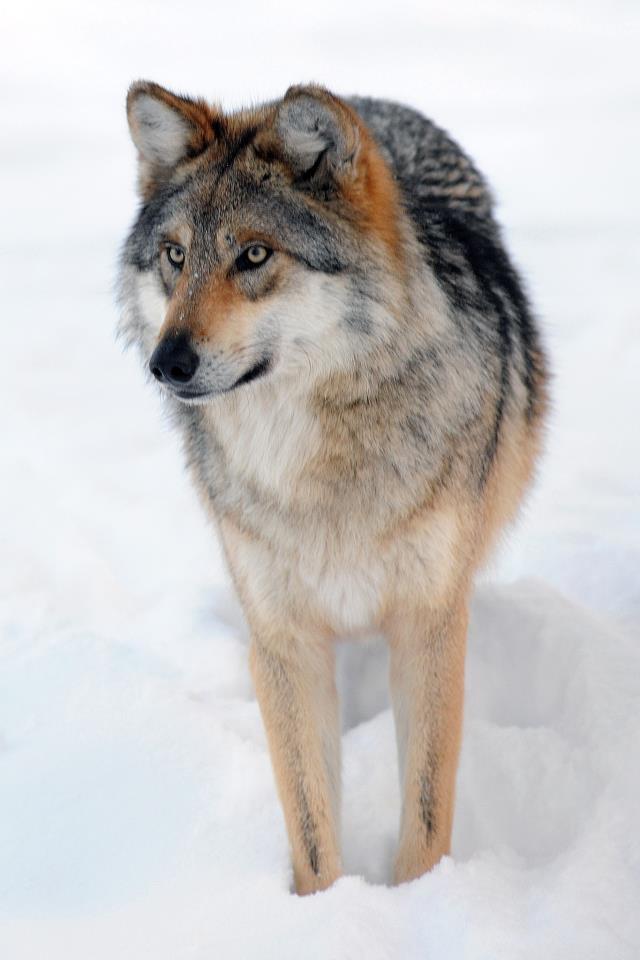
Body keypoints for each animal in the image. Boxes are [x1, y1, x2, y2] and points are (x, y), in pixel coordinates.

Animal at [118, 81, 548, 894]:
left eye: (254, 255)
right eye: (175, 256)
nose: (166, 363)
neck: (313, 472)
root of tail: (371, 100)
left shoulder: (429, 622)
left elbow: (426, 809)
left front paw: (418, 901)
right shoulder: (284, 641)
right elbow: (312, 824)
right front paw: (325, 907)